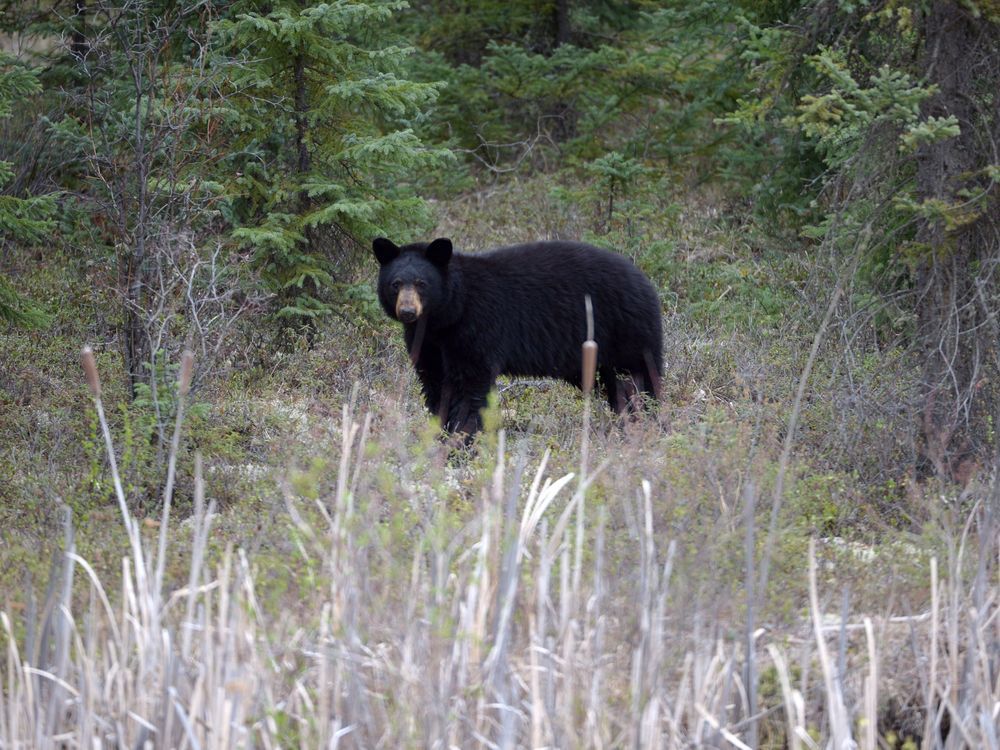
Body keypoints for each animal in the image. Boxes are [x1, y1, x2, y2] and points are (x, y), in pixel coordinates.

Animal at [373, 236, 663, 436]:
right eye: (395, 284)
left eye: (421, 284)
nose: (408, 311)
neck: (448, 314)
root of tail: (644, 280)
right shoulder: (427, 341)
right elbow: (435, 383)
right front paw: (441, 434)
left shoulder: (476, 328)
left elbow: (470, 386)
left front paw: (462, 439)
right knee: (616, 384)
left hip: (625, 331)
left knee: (641, 378)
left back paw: (649, 420)